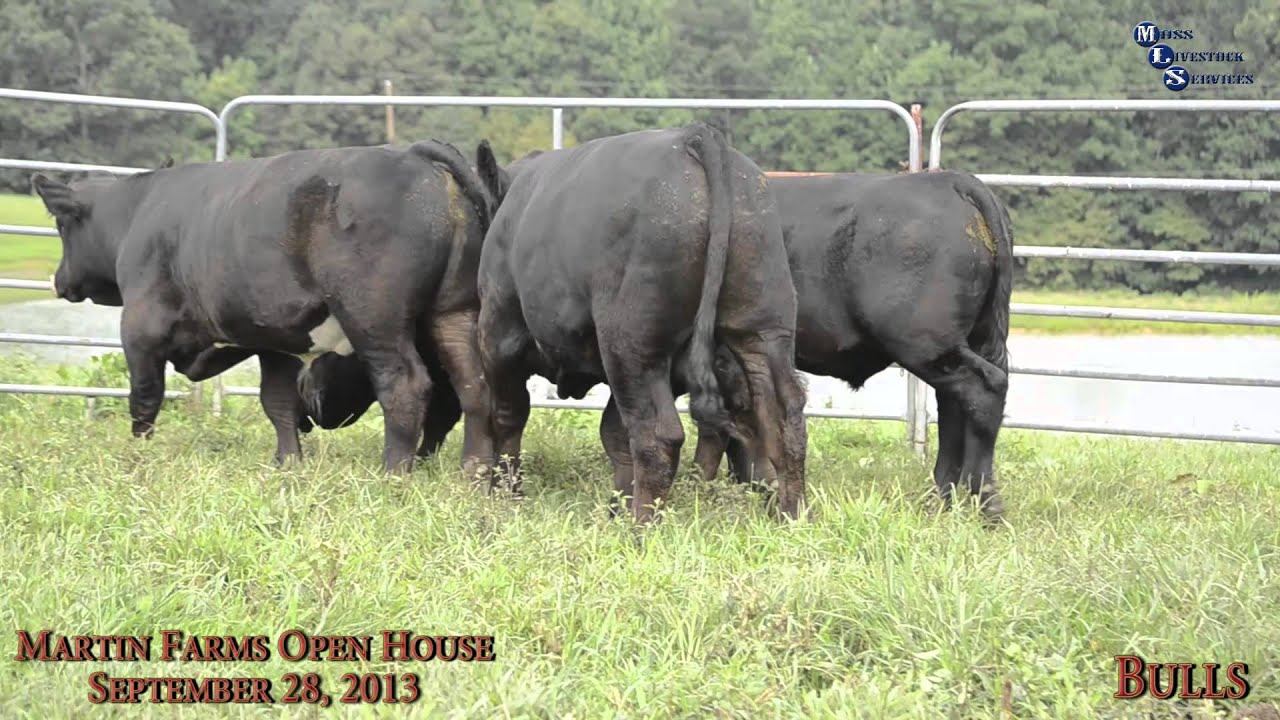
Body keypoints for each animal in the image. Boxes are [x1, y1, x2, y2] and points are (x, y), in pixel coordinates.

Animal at [30, 140, 498, 476]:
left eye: (60, 224)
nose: (58, 279)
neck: (138, 213)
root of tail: (414, 154)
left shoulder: (141, 330)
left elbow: (144, 398)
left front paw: (138, 453)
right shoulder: (276, 343)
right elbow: (277, 402)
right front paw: (287, 463)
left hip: (373, 318)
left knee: (405, 386)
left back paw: (393, 474)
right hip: (453, 311)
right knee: (472, 384)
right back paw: (473, 471)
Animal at [692, 171, 1014, 520]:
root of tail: (951, 179)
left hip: (923, 341)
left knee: (983, 390)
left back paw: (986, 504)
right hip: (962, 341)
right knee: (955, 406)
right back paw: (941, 501)